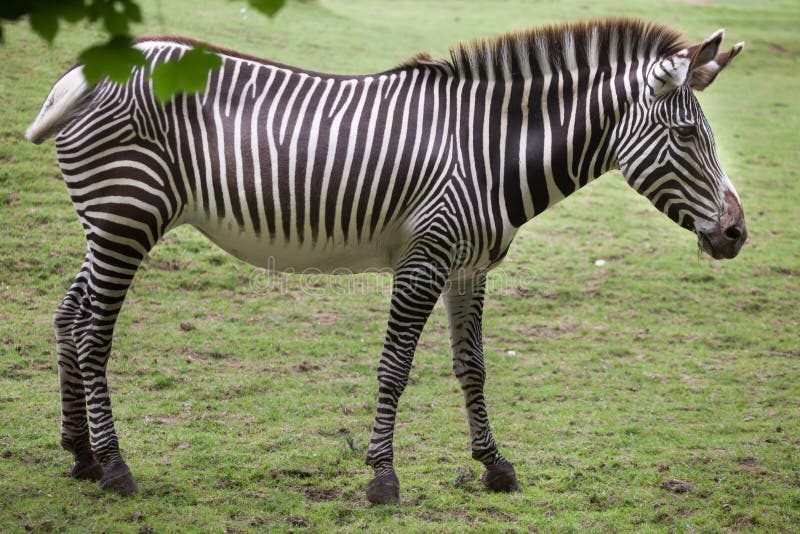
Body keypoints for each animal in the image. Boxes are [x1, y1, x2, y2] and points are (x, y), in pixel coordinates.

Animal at [26, 18, 746, 504]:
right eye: (688, 134)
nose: (737, 234)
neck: (489, 153)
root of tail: (79, 72)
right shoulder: (425, 258)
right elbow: (395, 367)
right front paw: (382, 476)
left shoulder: (468, 268)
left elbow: (472, 368)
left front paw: (495, 466)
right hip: (127, 216)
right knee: (91, 333)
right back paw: (116, 468)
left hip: (108, 223)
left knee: (67, 316)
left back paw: (81, 456)